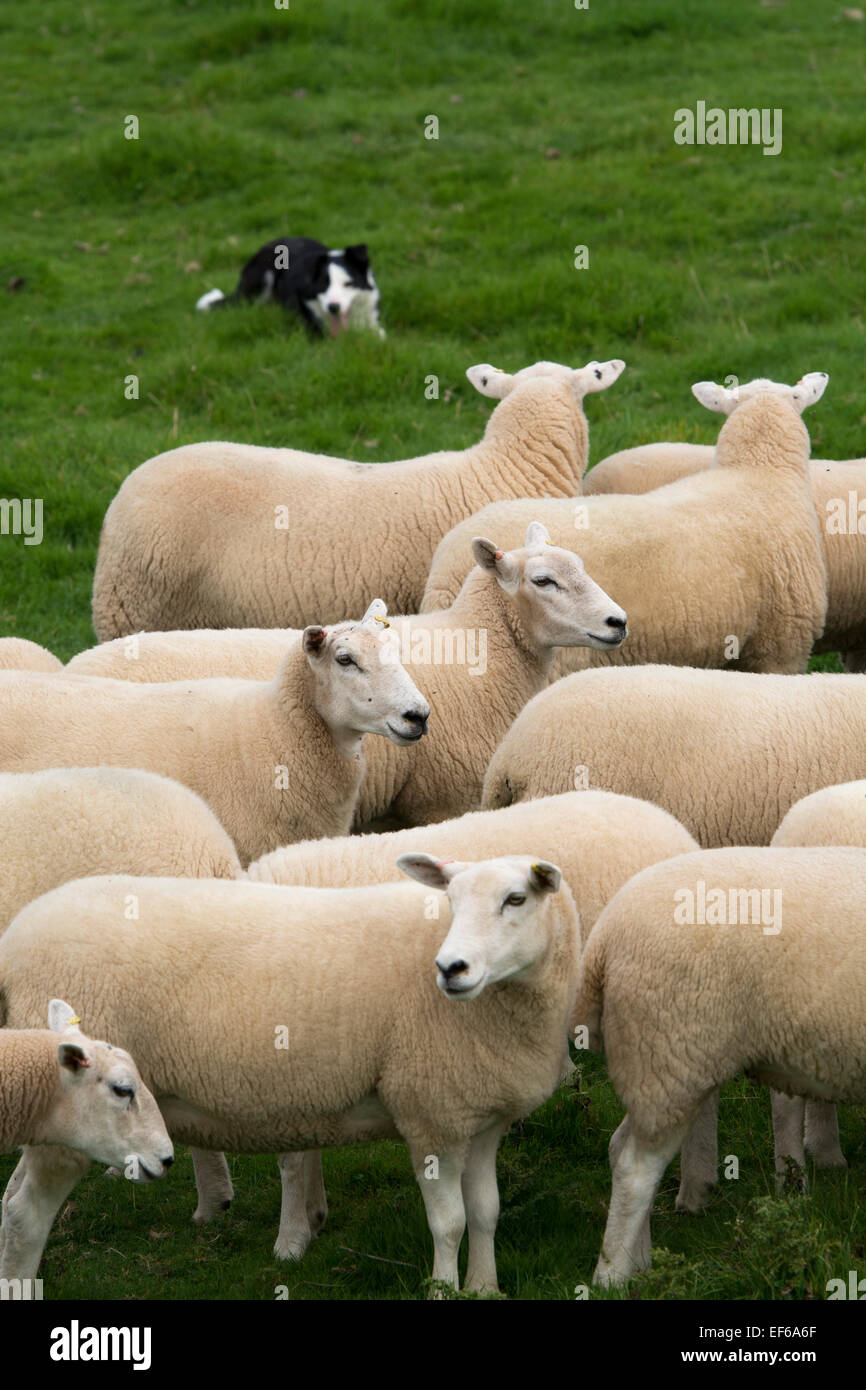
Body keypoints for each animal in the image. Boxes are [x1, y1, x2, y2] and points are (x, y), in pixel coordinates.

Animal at [571, 845, 866, 1285]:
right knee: (634, 1170)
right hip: (671, 1053)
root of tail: (604, 937)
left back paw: (639, 1263)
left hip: (661, 1069)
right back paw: (612, 1277)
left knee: (620, 1147)